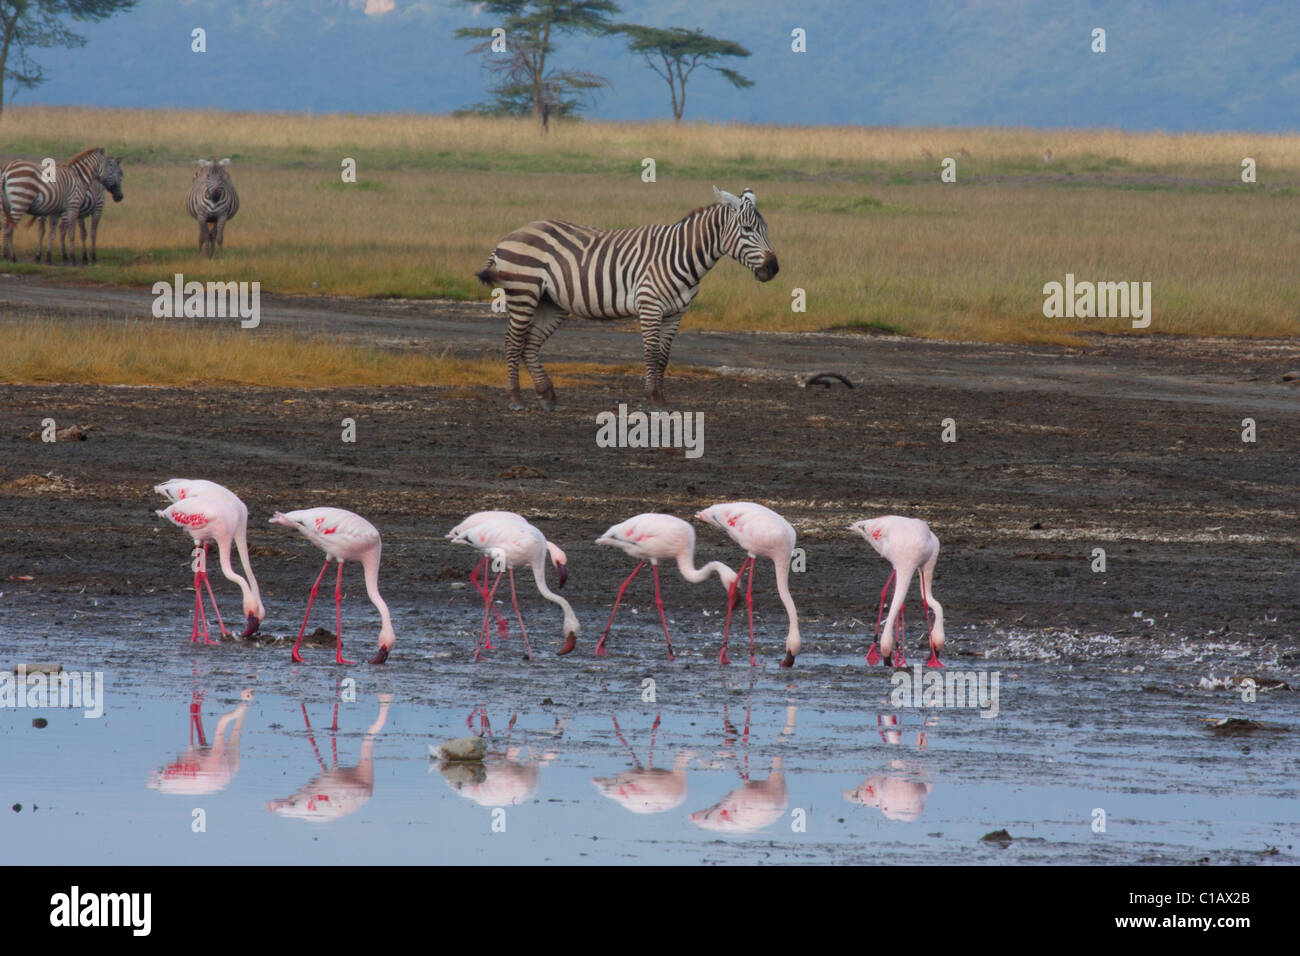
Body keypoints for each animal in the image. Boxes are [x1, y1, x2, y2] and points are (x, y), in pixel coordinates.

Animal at [475, 186, 779, 410]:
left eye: (766, 229)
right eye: (748, 230)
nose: (773, 268)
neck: (681, 256)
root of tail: (510, 236)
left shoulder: (675, 313)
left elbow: (664, 357)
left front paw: (662, 399)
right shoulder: (650, 306)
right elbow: (651, 353)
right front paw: (653, 399)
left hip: (552, 303)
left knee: (530, 344)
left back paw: (547, 394)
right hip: (524, 293)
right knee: (513, 342)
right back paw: (516, 398)